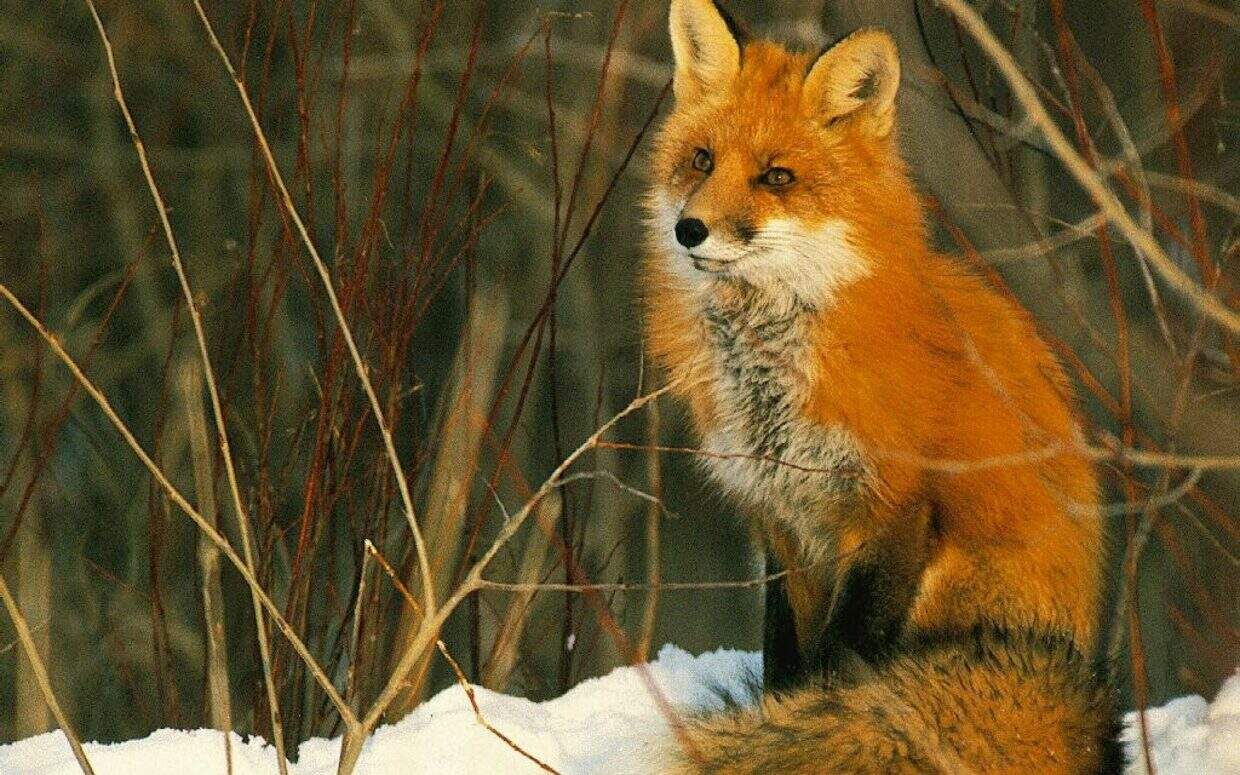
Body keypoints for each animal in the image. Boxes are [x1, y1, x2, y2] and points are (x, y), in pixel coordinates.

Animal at [639, 1, 1120, 772]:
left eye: (777, 176)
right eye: (703, 160)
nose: (690, 230)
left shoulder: (891, 509)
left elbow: (839, 664)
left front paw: (809, 726)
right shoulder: (783, 526)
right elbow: (788, 665)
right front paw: (782, 717)